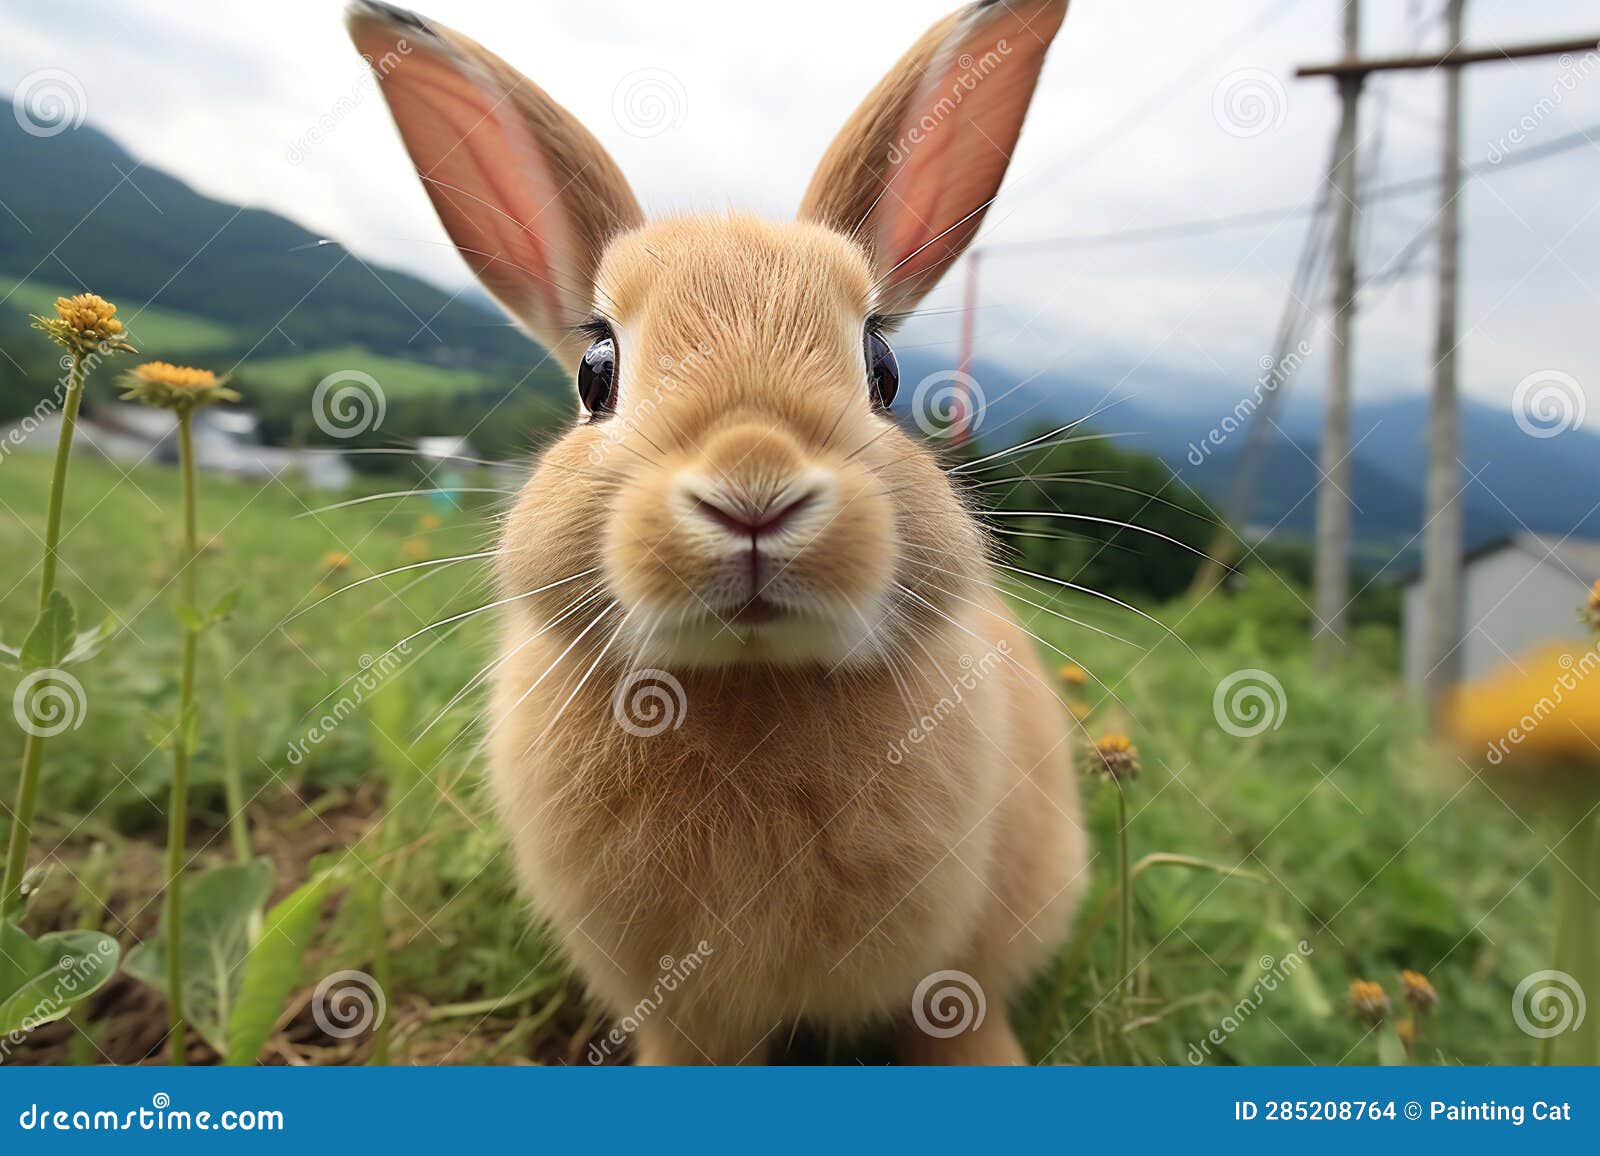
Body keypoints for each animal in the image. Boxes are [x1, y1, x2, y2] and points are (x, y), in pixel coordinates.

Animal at [348, 0, 1085, 1065]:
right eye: (597, 374)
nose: (754, 487)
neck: (748, 678)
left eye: (884, 370)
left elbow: (958, 1010)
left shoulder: (954, 968)